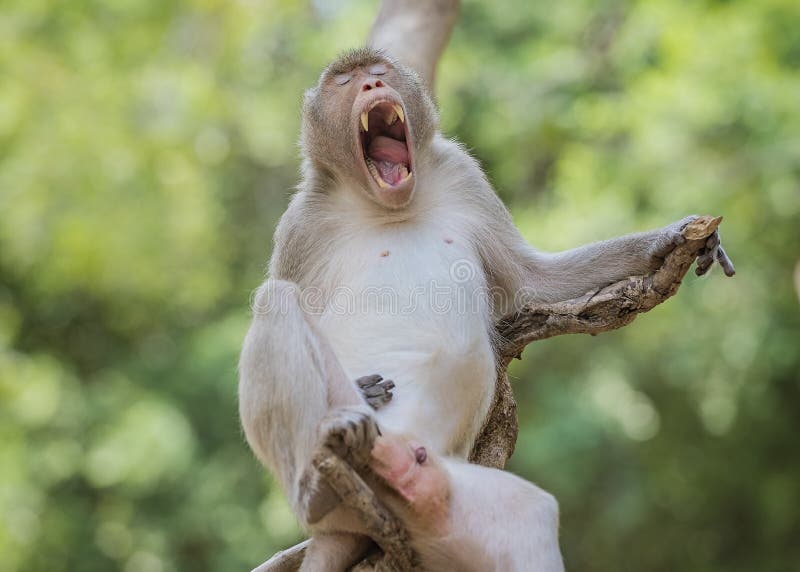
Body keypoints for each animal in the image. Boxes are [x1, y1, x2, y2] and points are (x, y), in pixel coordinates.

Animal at [239, 47, 734, 571]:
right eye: (344, 83)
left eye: (378, 73)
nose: (371, 87)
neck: (389, 206)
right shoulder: (301, 223)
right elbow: (289, 295)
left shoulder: (463, 175)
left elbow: (534, 280)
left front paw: (670, 240)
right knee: (276, 301)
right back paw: (314, 488)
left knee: (530, 513)